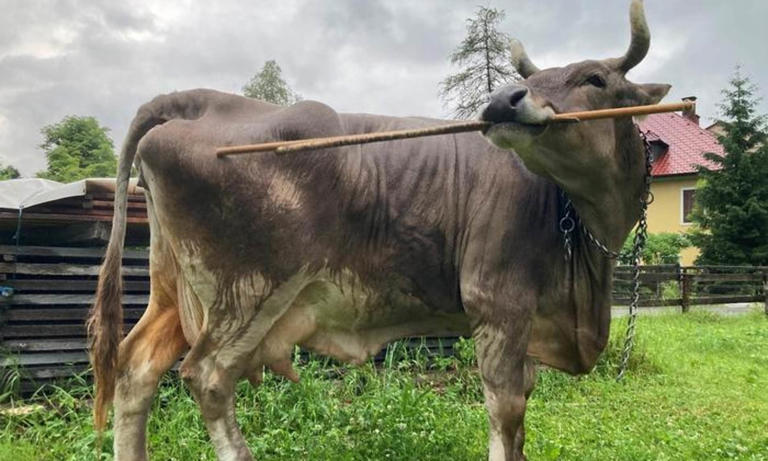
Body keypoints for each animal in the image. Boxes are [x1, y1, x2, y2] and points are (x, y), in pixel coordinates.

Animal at [88, 1, 670, 459]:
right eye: (529, 81)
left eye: (595, 79)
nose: (503, 100)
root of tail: (203, 99)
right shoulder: (498, 306)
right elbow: (505, 418)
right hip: (249, 292)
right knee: (206, 377)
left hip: (175, 290)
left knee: (136, 369)